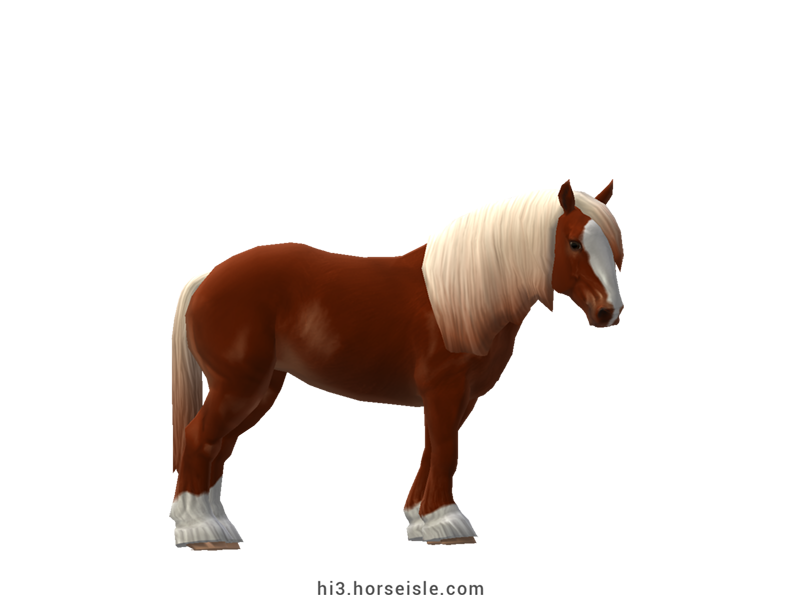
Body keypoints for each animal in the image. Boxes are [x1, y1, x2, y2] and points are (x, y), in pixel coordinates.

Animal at [169, 179, 624, 546]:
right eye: (574, 243)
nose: (609, 310)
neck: (462, 297)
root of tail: (205, 282)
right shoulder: (443, 390)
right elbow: (446, 449)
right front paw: (447, 521)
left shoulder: (459, 396)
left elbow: (432, 449)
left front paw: (422, 519)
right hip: (237, 388)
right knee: (197, 439)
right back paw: (199, 529)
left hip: (250, 394)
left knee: (216, 446)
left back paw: (207, 521)